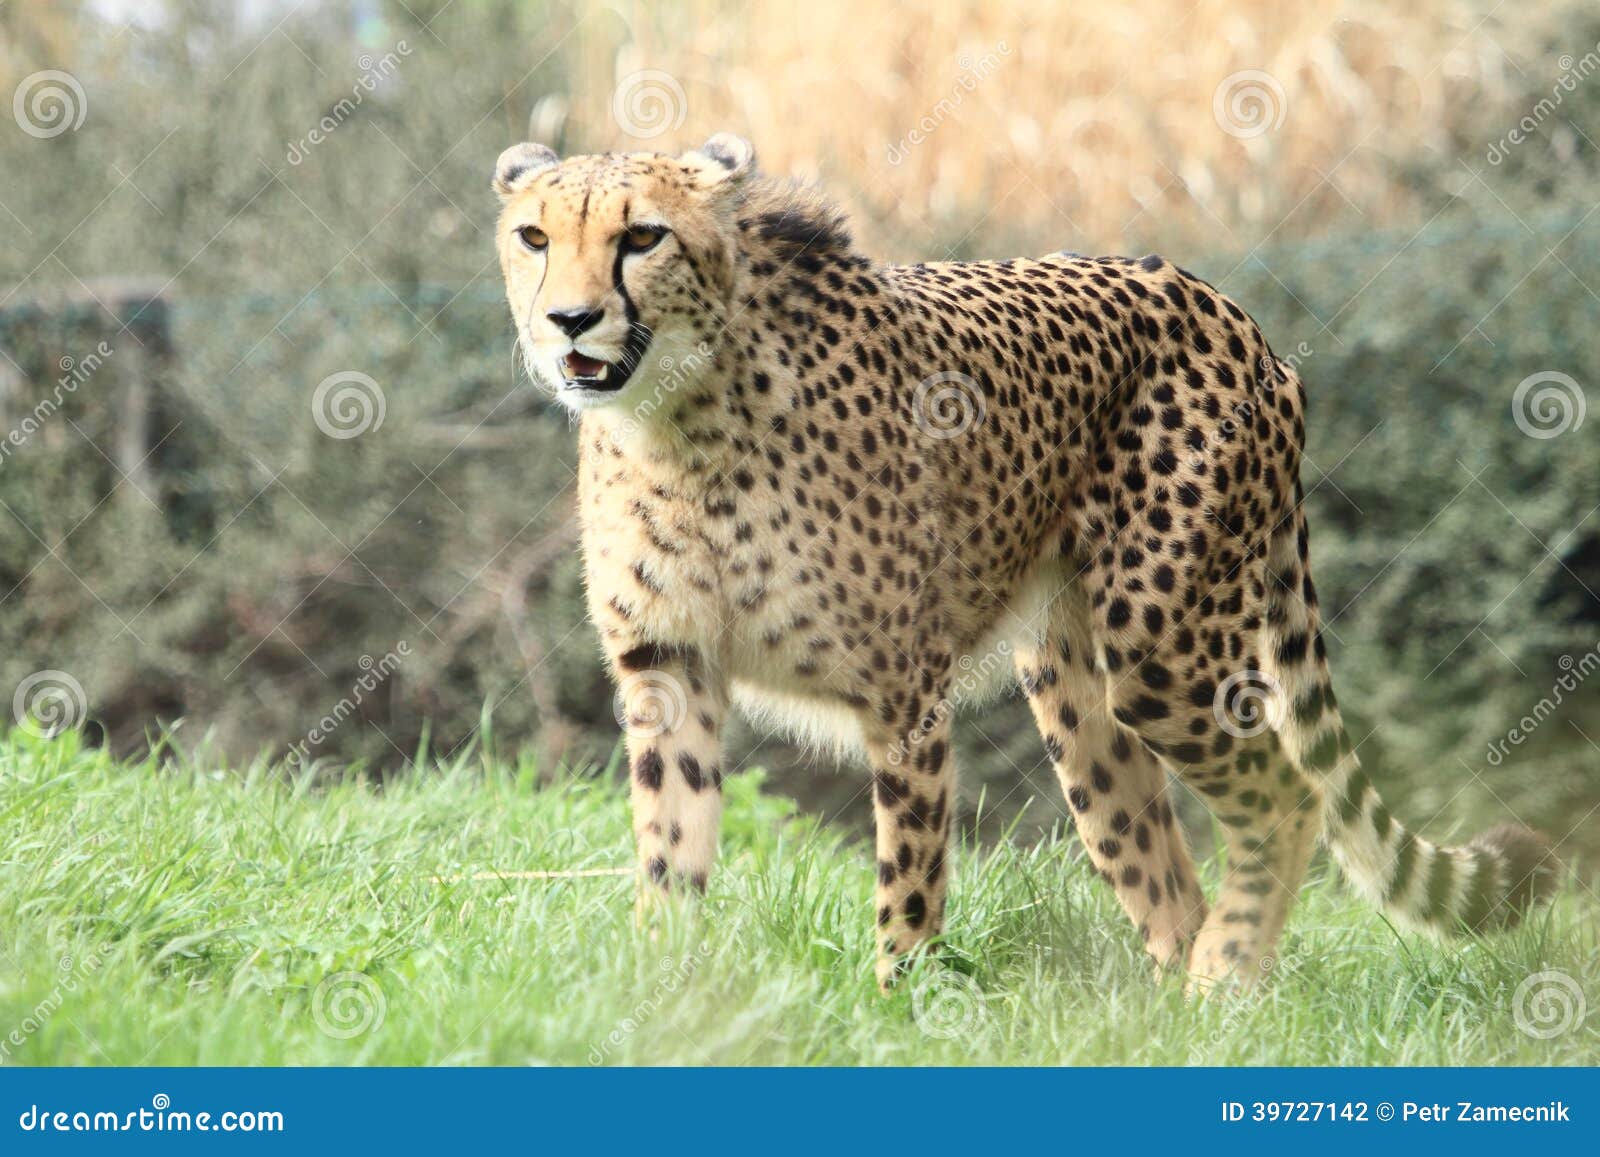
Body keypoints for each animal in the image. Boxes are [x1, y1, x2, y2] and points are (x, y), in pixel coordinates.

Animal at [492, 132, 1557, 991]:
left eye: (643, 237)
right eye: (534, 238)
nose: (569, 322)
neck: (679, 419)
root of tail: (1225, 306)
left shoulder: (903, 688)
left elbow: (910, 876)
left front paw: (901, 1007)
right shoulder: (668, 668)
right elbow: (669, 851)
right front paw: (659, 989)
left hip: (1163, 649)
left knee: (1286, 794)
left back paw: (1226, 983)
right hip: (1078, 691)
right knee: (1161, 865)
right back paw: (1178, 1011)